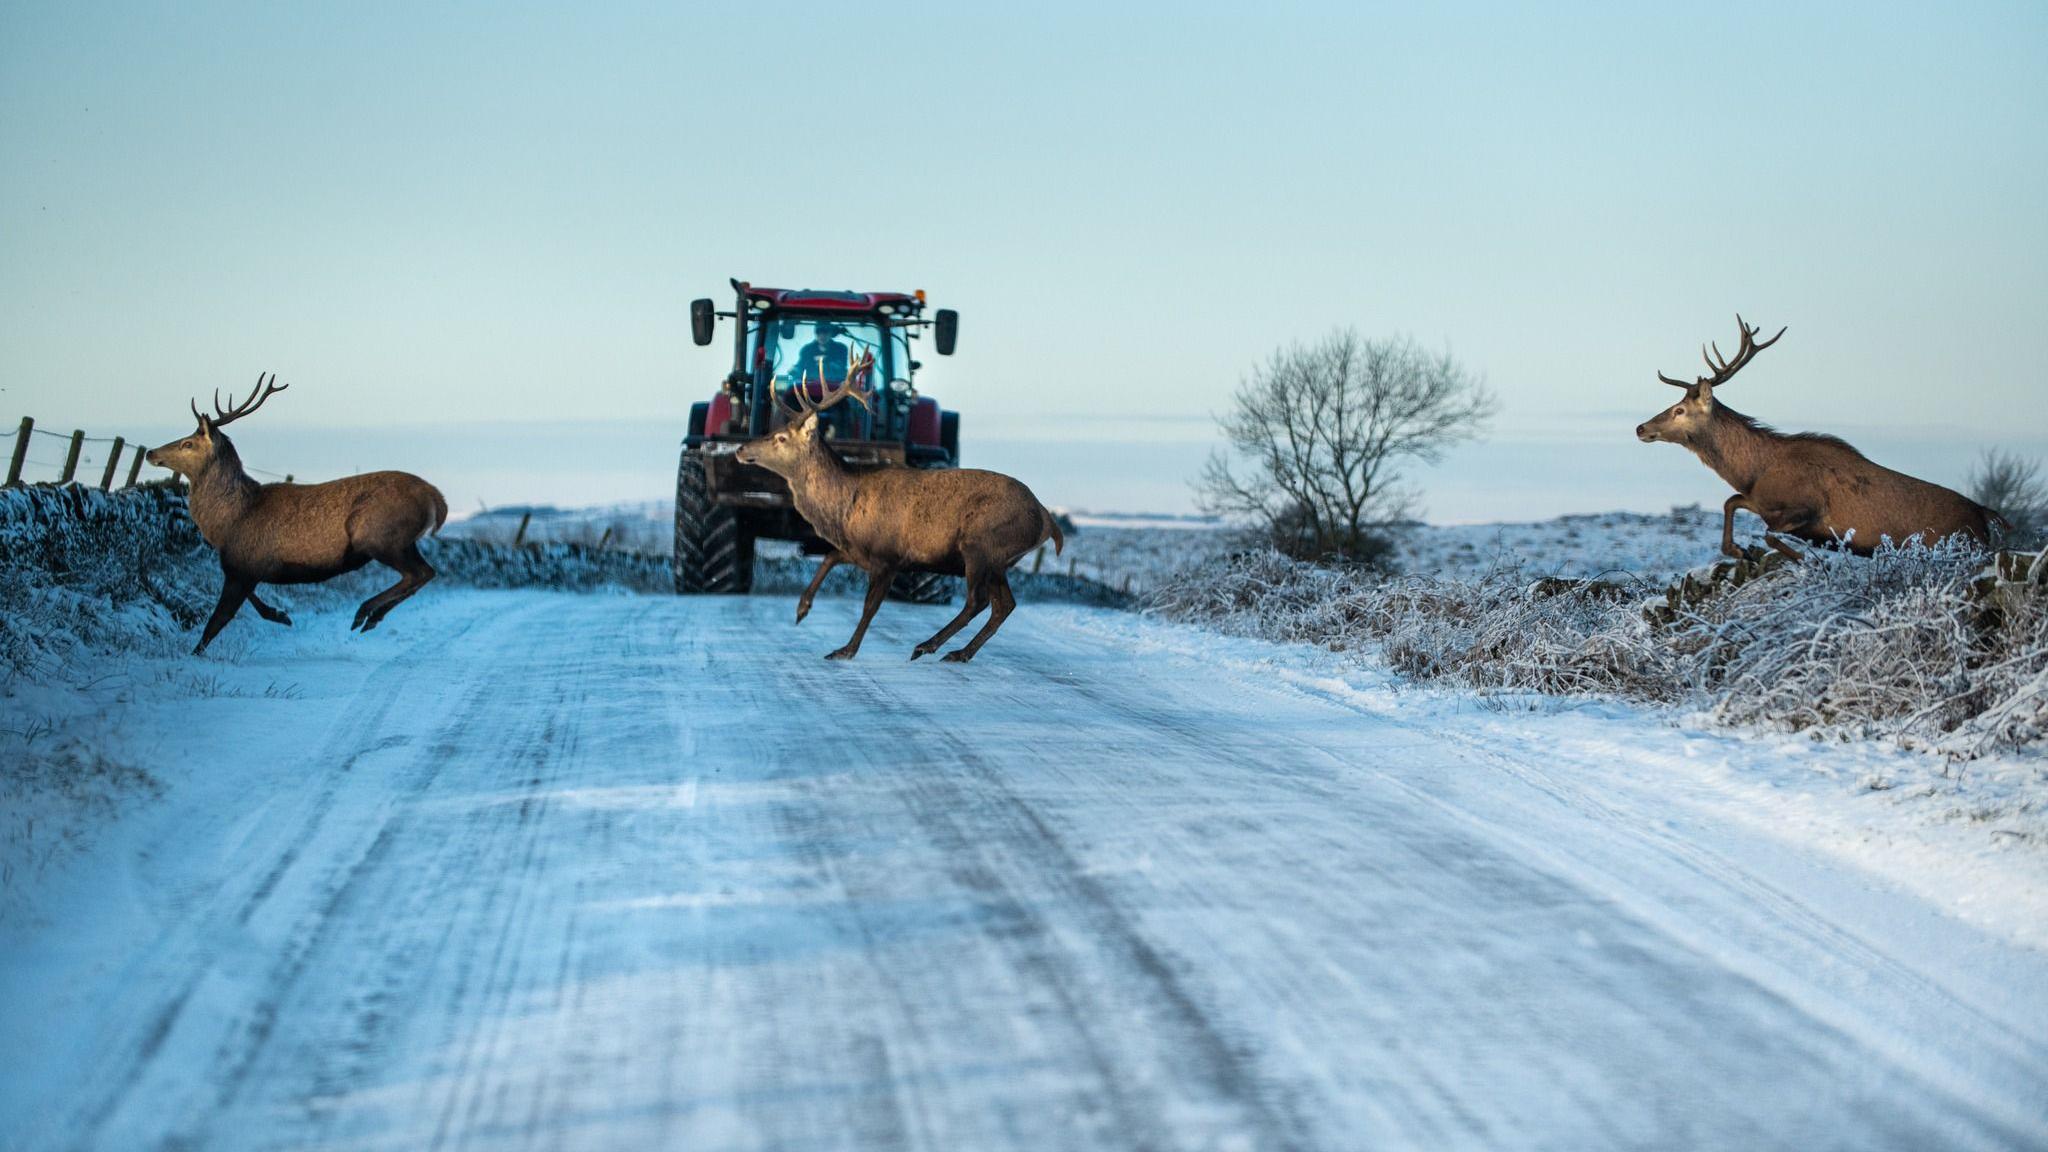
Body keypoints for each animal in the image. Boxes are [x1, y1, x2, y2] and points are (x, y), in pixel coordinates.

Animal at [145, 374, 448, 654]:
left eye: (187, 444)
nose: (150, 452)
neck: (227, 524)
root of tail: (437, 499)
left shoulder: (243, 564)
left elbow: (217, 620)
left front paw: (192, 656)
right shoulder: (242, 567)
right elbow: (250, 604)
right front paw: (281, 615)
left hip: (377, 535)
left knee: (417, 573)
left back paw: (365, 612)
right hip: (402, 541)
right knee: (426, 572)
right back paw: (372, 616)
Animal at [733, 351, 1063, 662]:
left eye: (780, 437)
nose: (739, 448)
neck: (843, 508)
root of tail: (1047, 519)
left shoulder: (887, 554)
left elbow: (869, 607)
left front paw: (845, 649)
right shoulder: (859, 549)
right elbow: (829, 557)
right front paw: (802, 609)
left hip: (982, 544)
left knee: (977, 600)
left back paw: (927, 646)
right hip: (999, 560)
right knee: (1003, 604)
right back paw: (959, 653)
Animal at [1636, 316, 1996, 561]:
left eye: (1680, 409)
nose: (1641, 427)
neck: (1755, 471)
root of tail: (1986, 517)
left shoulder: (1808, 507)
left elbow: (1769, 535)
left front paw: (1803, 559)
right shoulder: (1760, 500)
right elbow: (1732, 503)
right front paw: (1739, 550)